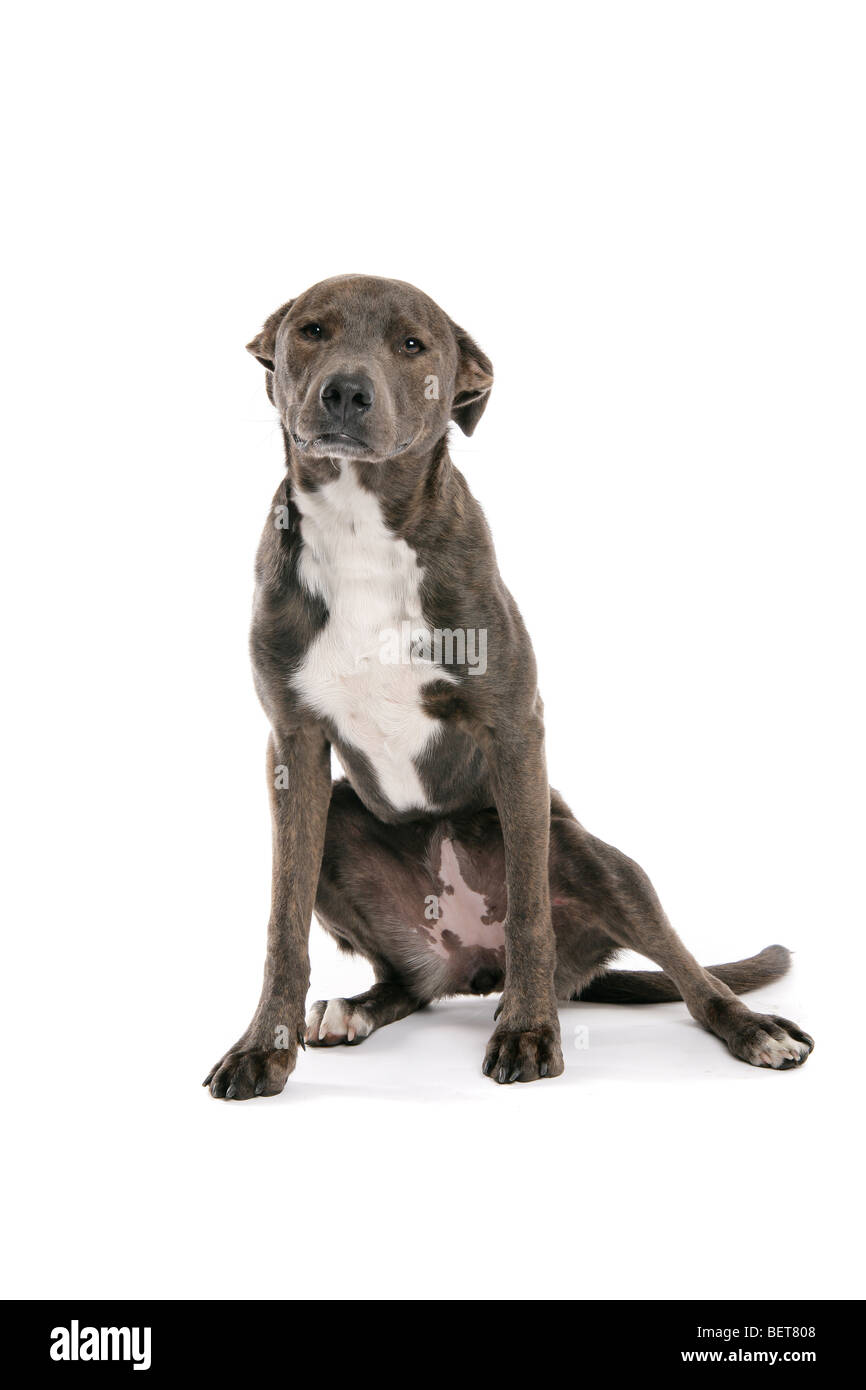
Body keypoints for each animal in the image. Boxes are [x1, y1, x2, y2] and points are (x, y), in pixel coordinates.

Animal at [202, 271, 811, 1095]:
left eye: (413, 344)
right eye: (313, 330)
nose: (346, 392)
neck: (362, 530)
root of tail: (470, 964)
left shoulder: (515, 727)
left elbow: (529, 909)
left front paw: (527, 1031)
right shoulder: (293, 747)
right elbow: (281, 920)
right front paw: (263, 1046)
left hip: (591, 854)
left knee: (685, 969)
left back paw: (750, 1027)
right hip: (342, 823)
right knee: (410, 984)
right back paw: (356, 1008)